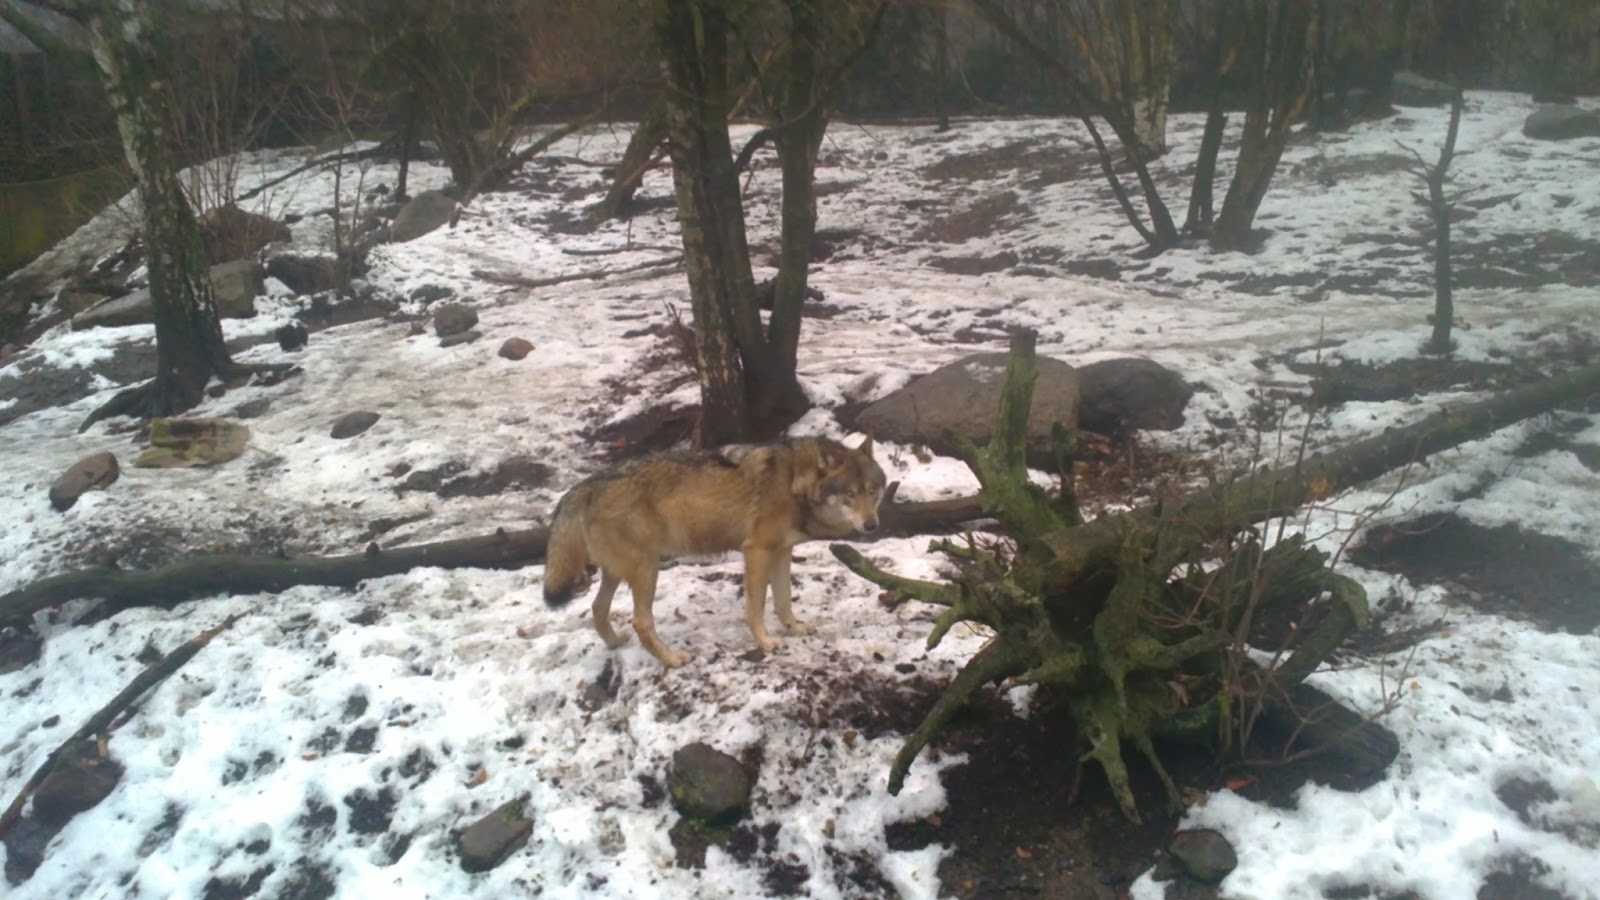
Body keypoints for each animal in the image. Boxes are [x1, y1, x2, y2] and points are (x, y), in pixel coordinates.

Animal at [542, 436, 886, 667]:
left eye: (872, 492)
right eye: (850, 494)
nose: (871, 525)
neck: (794, 482)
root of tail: (584, 486)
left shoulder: (782, 551)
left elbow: (784, 600)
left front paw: (795, 628)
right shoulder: (757, 551)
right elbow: (757, 607)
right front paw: (766, 642)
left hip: (618, 573)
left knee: (597, 609)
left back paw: (615, 643)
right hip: (647, 569)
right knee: (640, 622)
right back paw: (672, 659)